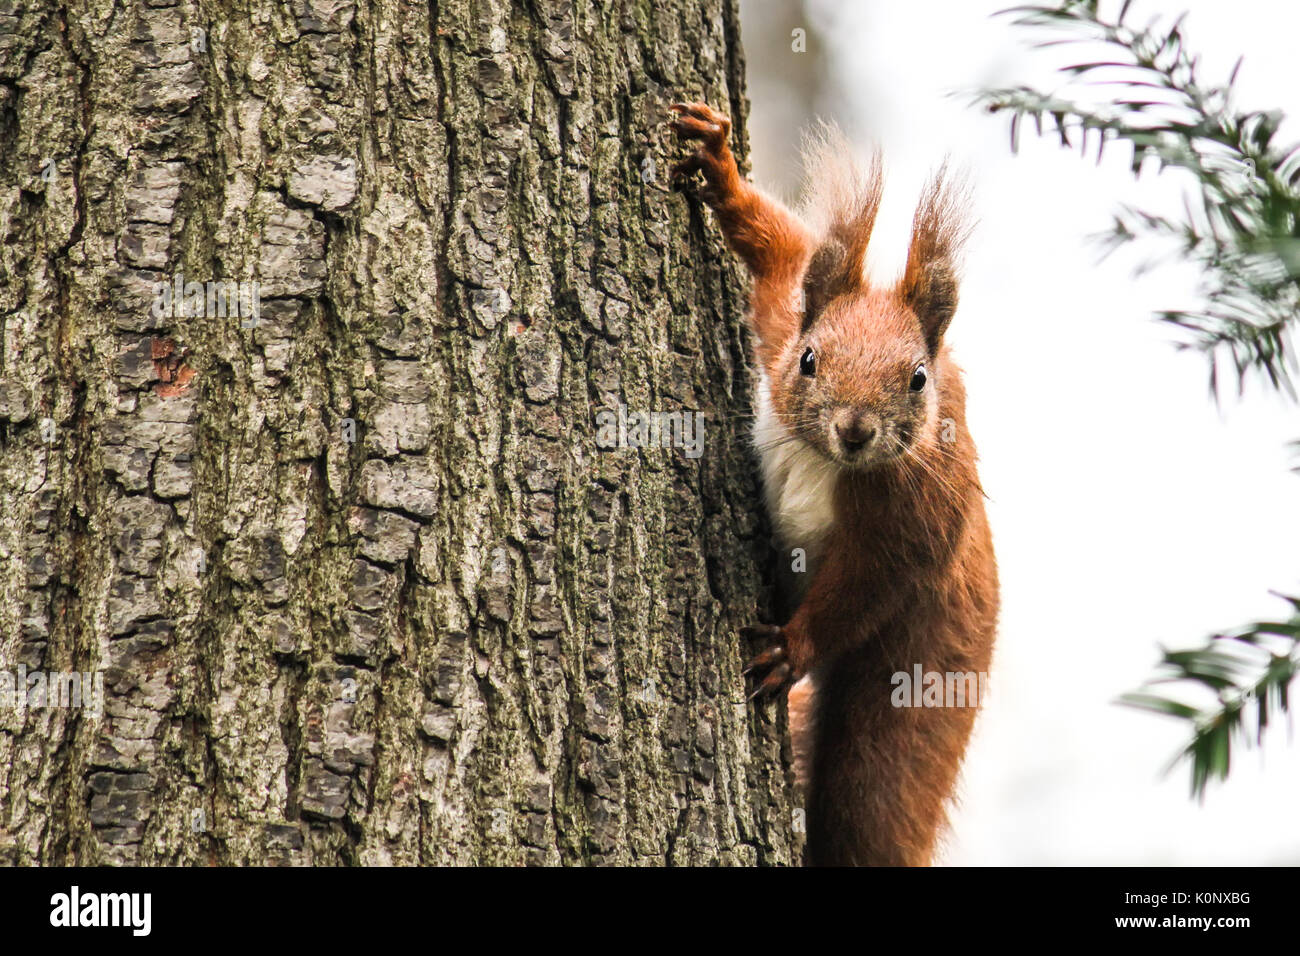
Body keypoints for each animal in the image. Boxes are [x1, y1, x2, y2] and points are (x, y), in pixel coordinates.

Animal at [669, 102, 999, 866]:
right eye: (810, 359)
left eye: (917, 379)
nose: (854, 429)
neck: (830, 462)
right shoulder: (783, 317)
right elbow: (784, 249)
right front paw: (720, 169)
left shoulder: (919, 513)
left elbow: (871, 583)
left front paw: (791, 648)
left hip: (914, 685)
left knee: (870, 802)